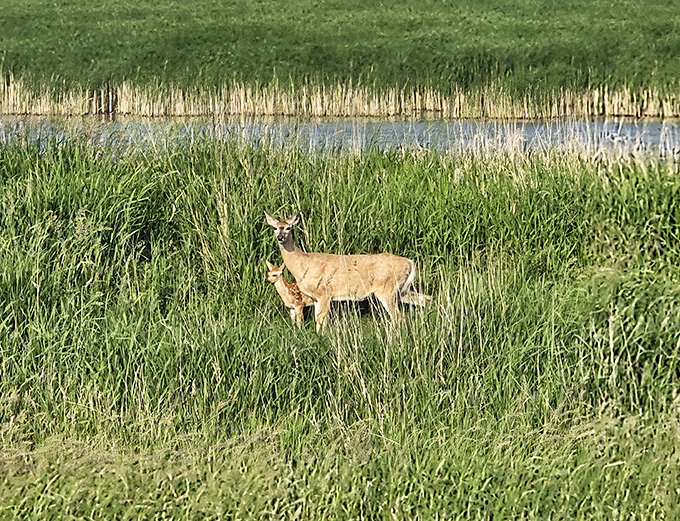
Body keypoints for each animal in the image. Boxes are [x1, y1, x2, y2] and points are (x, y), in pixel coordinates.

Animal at [265, 212, 430, 333]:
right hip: (401, 290)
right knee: (426, 299)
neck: (303, 265)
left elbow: (322, 323)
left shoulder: (325, 292)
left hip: (387, 289)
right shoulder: (316, 297)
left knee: (398, 317)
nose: (280, 237)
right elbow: (318, 322)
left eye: (288, 228)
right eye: (275, 228)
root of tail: (411, 263)